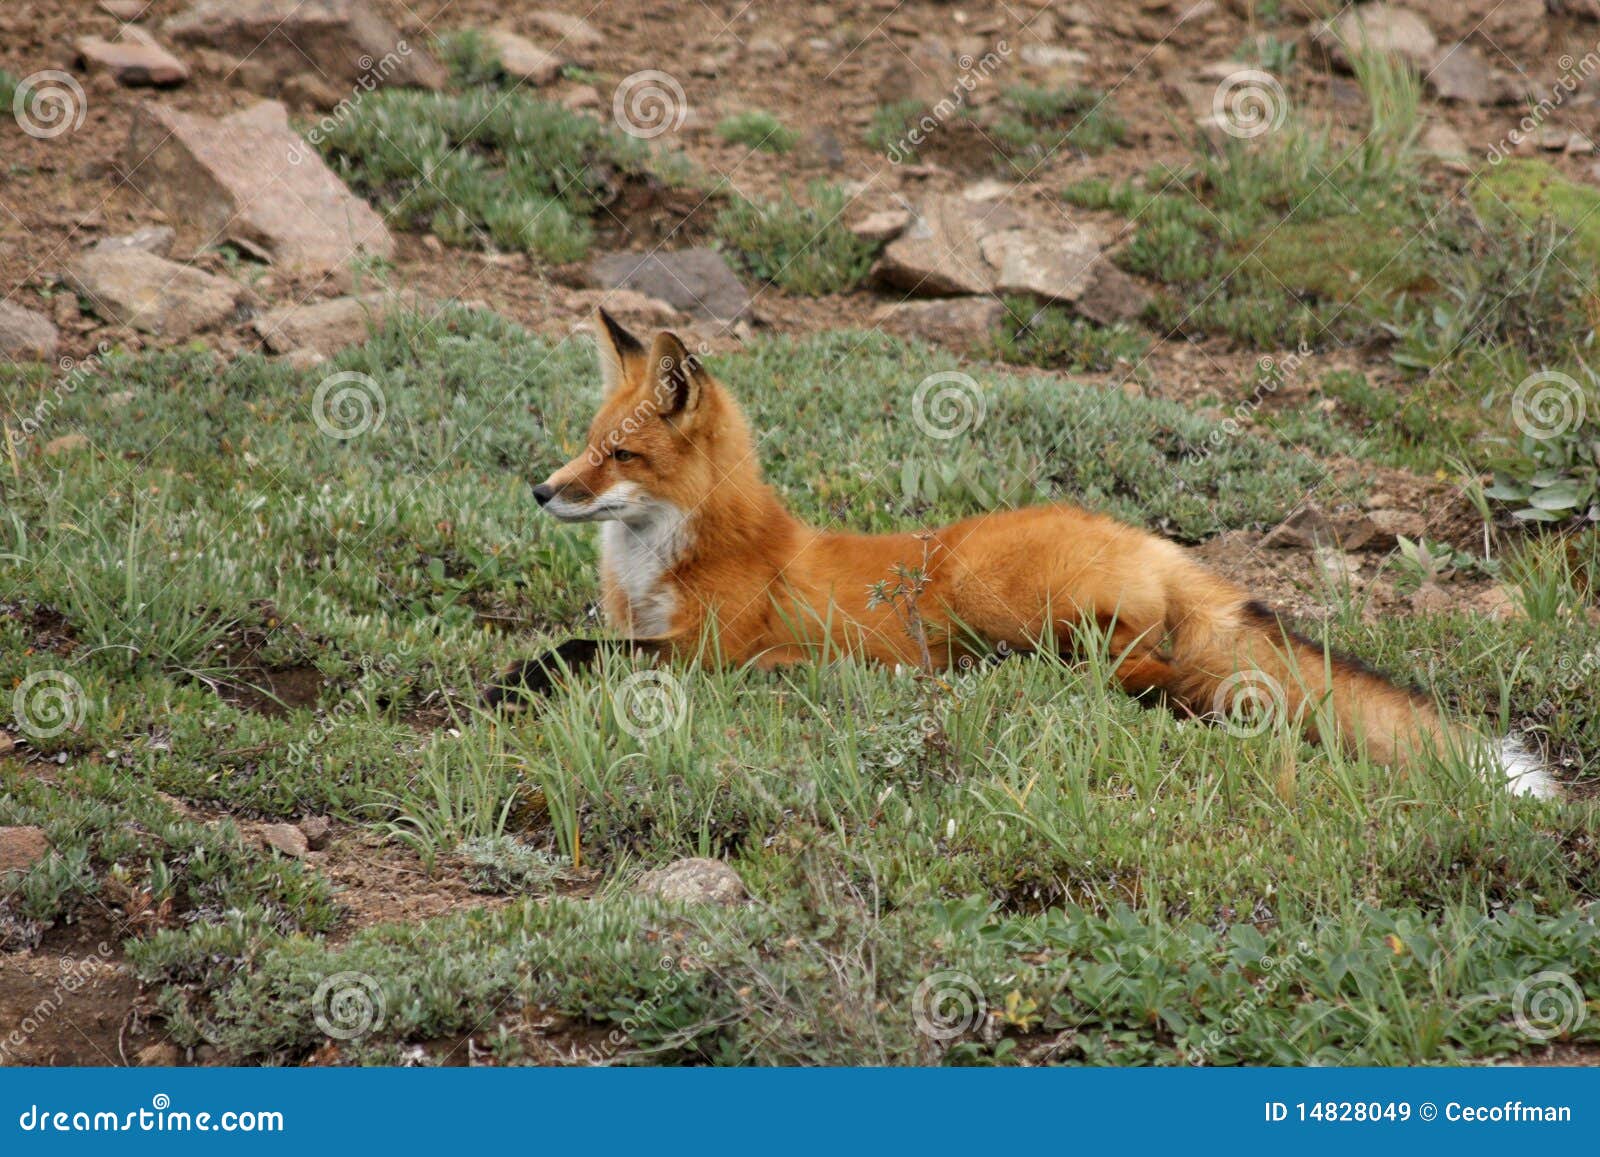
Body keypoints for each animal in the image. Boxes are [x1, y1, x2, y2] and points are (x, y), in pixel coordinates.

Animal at [487, 308, 1557, 799]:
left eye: (621, 455)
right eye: (587, 440)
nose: (541, 490)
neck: (658, 562)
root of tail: (1152, 541)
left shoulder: (707, 650)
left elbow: (570, 652)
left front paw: (507, 686)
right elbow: (576, 640)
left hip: (988, 586)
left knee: (1156, 670)